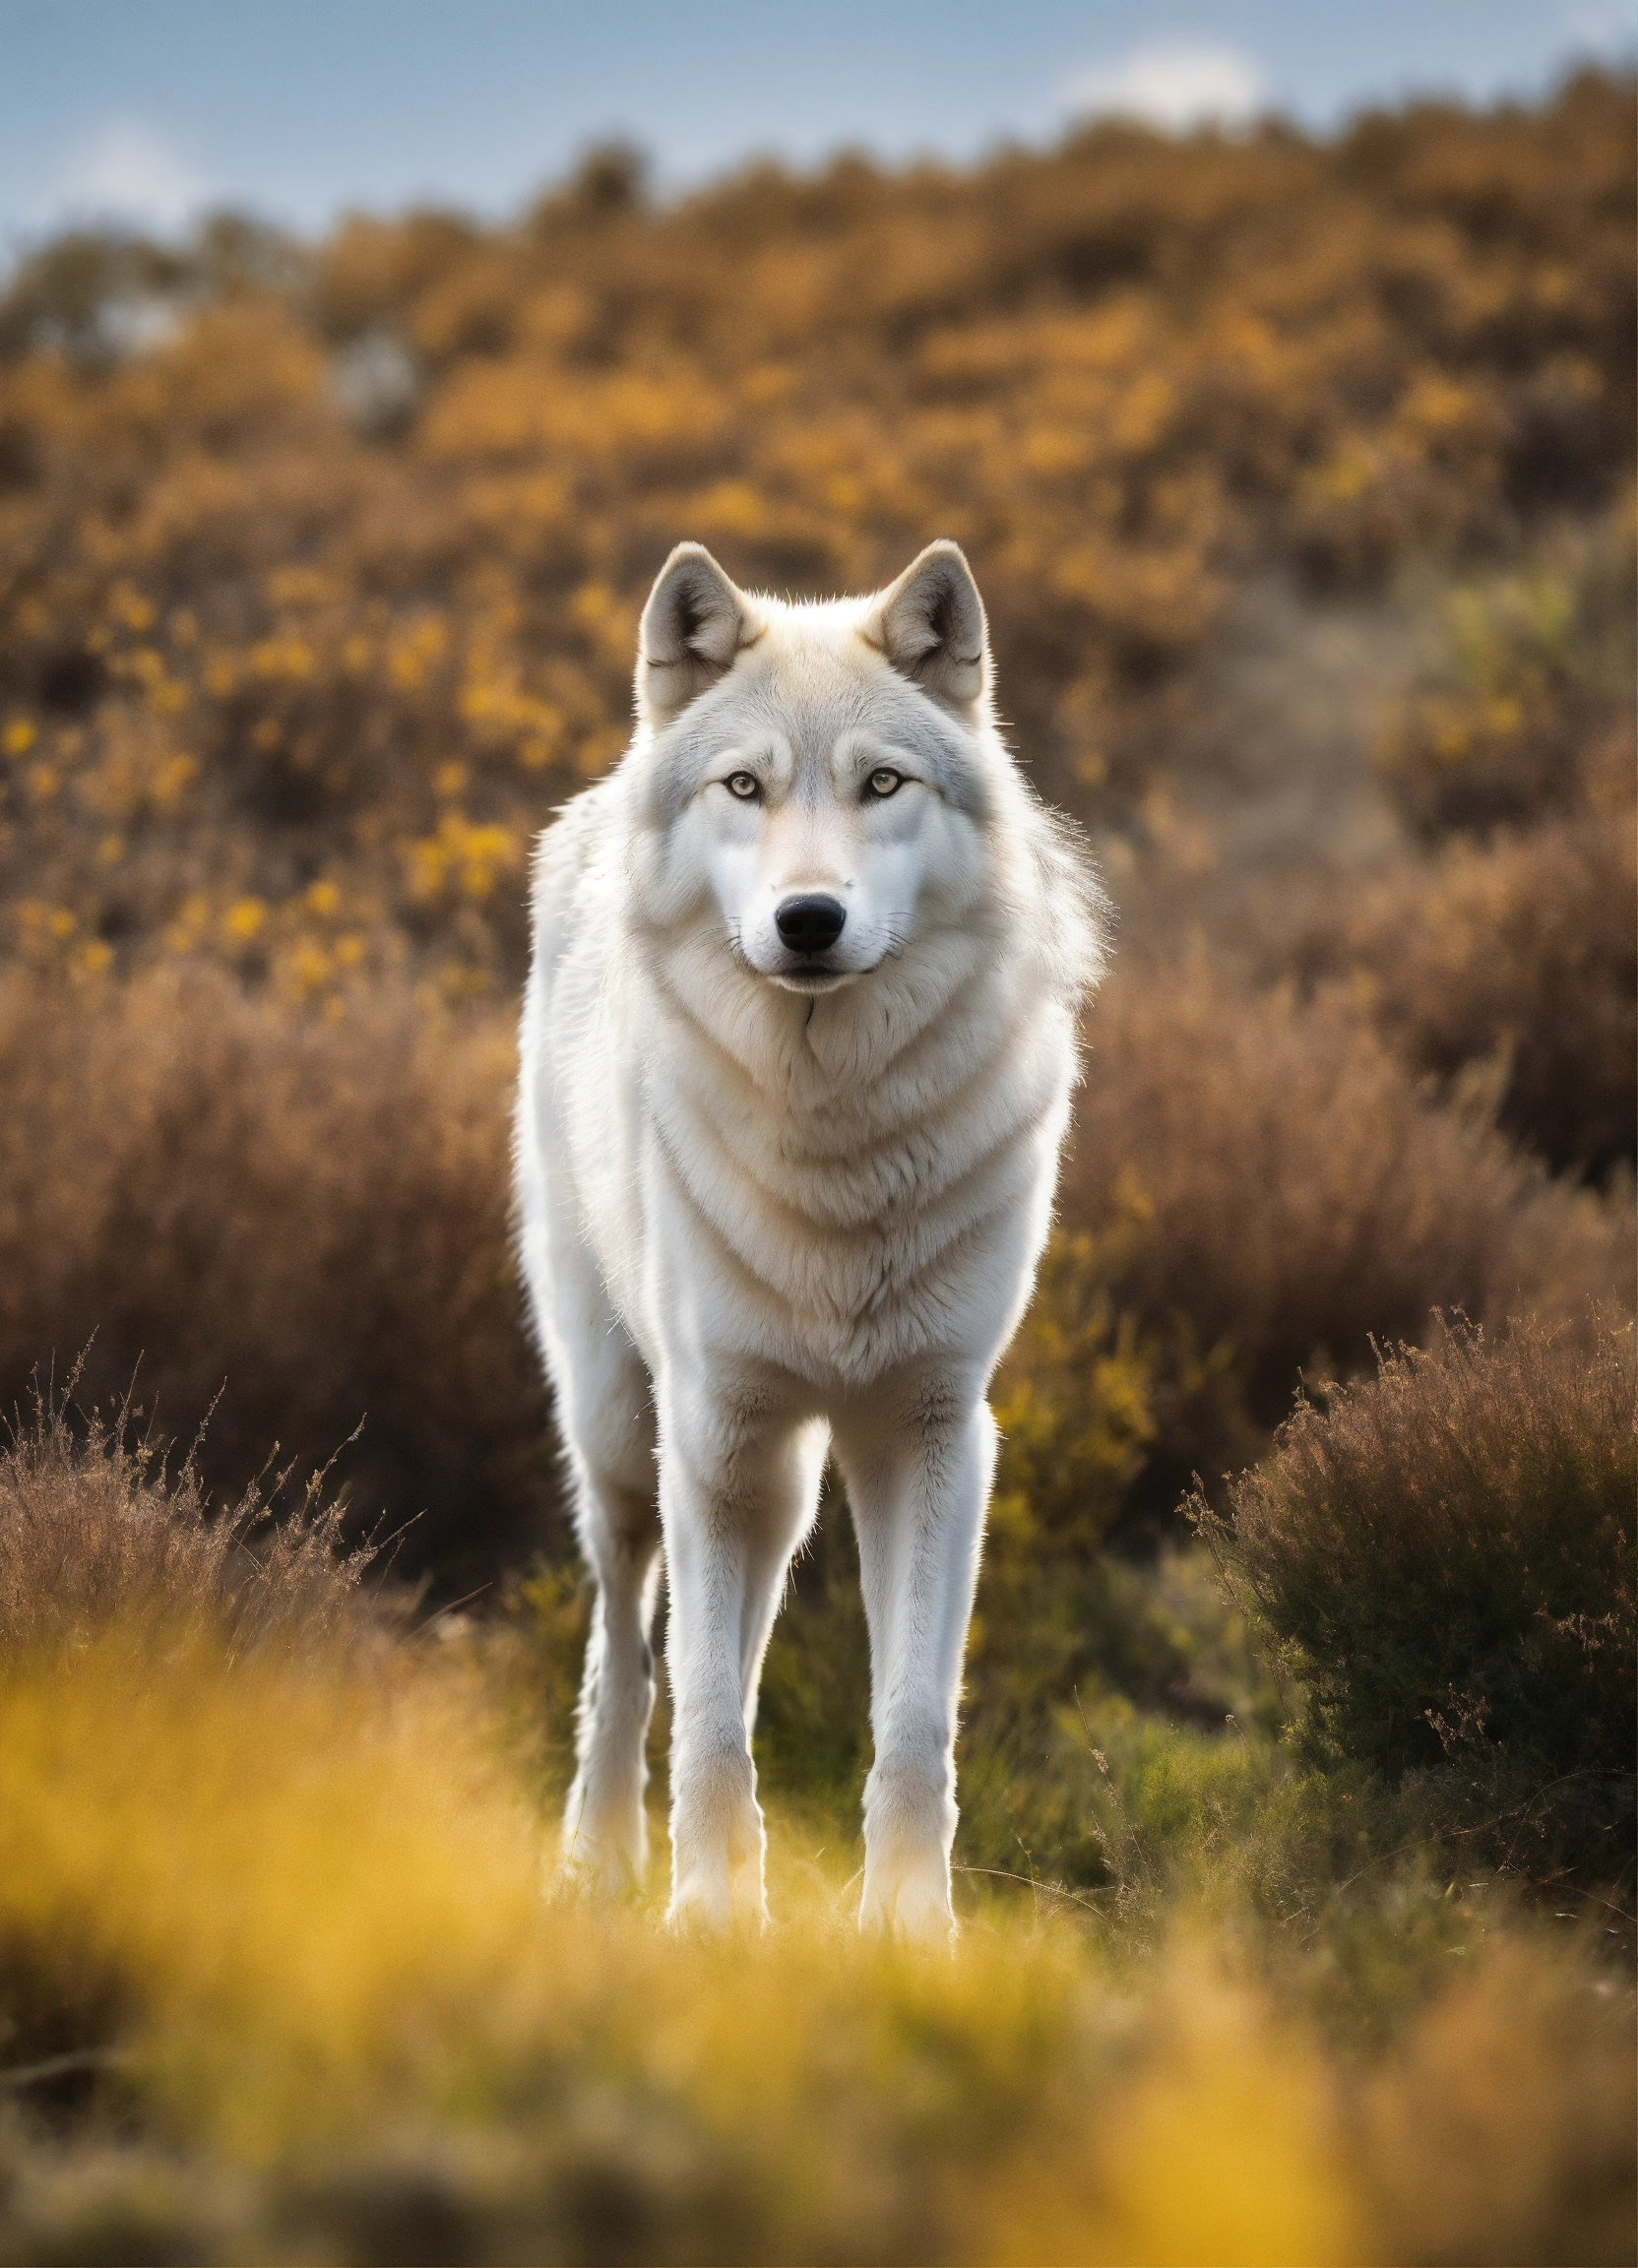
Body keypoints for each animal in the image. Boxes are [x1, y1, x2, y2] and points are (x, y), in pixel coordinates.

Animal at [515, 540, 1107, 1936]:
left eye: (879, 783)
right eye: (746, 787)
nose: (807, 922)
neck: (834, 1149)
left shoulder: (932, 1433)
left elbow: (910, 1726)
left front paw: (907, 1935)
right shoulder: (712, 1425)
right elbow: (707, 1726)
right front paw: (708, 1925)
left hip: (775, 1485)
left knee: (730, 1645)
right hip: (629, 1437)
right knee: (630, 1653)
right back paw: (600, 1862)